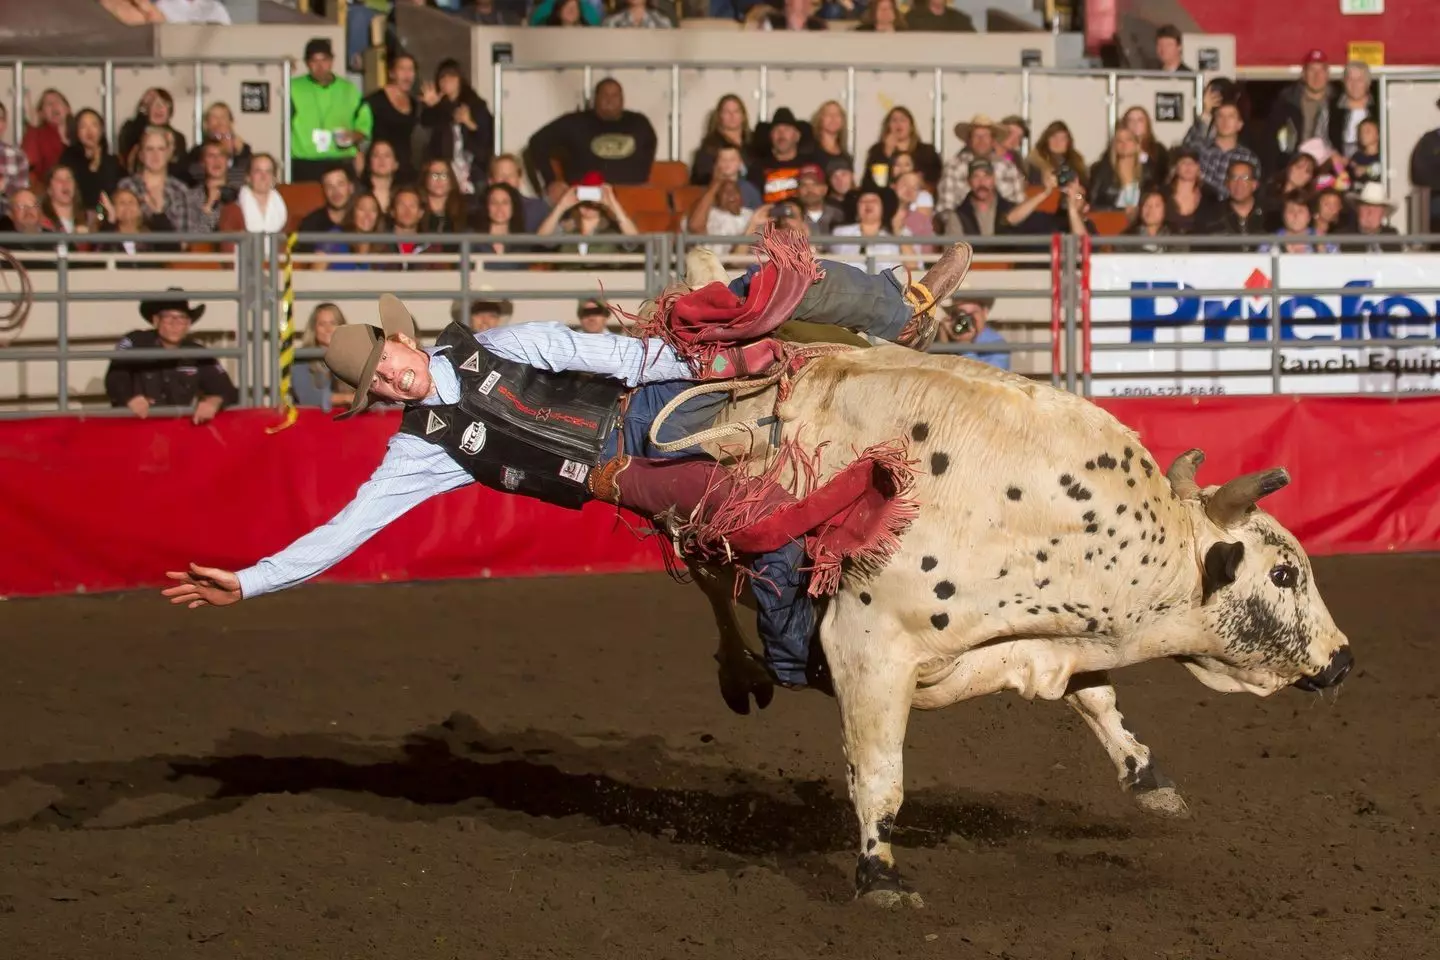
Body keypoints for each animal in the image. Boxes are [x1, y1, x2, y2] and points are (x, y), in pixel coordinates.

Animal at [660, 251, 1354, 908]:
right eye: (1284, 572)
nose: (1343, 659)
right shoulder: (870, 646)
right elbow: (879, 773)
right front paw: (880, 875)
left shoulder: (1052, 642)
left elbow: (1097, 698)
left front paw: (1148, 778)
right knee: (712, 583)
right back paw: (740, 673)